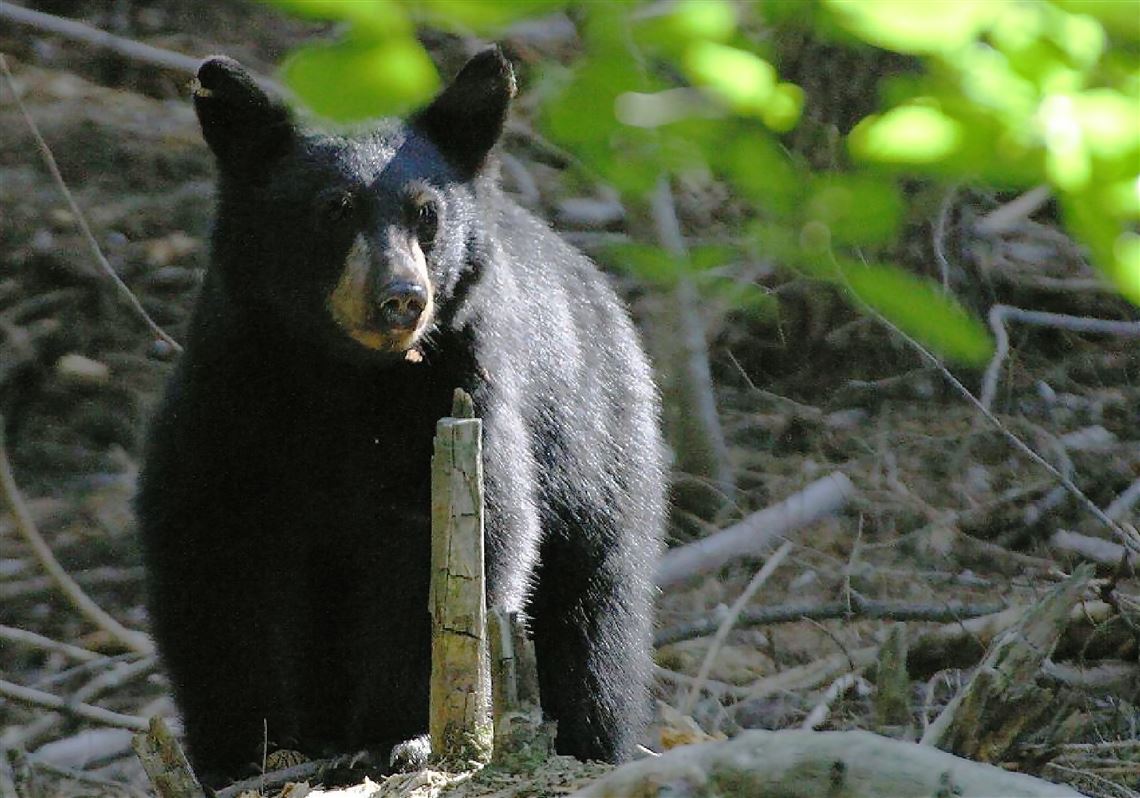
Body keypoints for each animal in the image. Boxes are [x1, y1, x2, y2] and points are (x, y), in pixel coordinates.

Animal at [135, 49, 667, 788]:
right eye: (334, 209)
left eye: (426, 214)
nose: (401, 299)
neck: (345, 378)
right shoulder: (233, 390)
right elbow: (210, 548)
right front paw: (244, 751)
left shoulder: (459, 390)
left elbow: (452, 546)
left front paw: (396, 737)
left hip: (597, 452)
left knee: (595, 621)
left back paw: (589, 739)